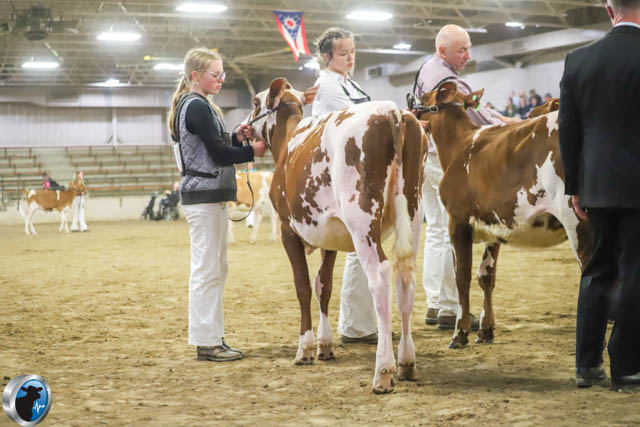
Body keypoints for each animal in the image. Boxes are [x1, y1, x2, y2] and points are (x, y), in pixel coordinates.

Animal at [249, 78, 428, 393]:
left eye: (256, 104)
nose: (240, 130)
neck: (288, 141)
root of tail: (393, 111)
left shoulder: (287, 230)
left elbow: (302, 286)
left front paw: (305, 348)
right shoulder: (328, 236)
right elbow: (324, 286)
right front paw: (325, 345)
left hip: (362, 219)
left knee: (380, 276)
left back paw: (383, 370)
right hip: (413, 212)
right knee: (405, 275)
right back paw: (406, 362)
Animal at [413, 81, 590, 349]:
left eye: (424, 97)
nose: (411, 108)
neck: (459, 145)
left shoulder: (457, 221)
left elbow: (461, 275)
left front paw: (460, 333)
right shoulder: (493, 226)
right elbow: (486, 276)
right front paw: (486, 331)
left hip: (576, 218)